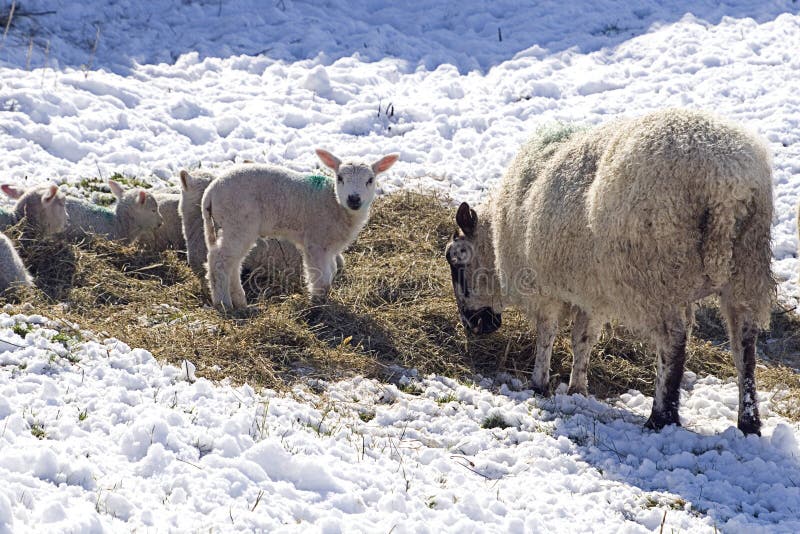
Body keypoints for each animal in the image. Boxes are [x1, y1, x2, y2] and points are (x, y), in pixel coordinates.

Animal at [202, 149, 399, 308]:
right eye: (340, 178)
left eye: (370, 180)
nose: (354, 199)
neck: (334, 203)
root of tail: (210, 192)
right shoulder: (315, 242)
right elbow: (322, 279)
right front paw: (318, 303)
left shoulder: (329, 246)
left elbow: (333, 271)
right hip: (238, 220)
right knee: (219, 260)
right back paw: (223, 303)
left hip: (234, 225)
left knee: (233, 262)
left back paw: (240, 302)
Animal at [445, 109, 773, 435]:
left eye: (455, 260)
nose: (473, 326)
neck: (495, 242)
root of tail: (726, 185)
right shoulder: (594, 294)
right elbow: (583, 339)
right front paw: (577, 389)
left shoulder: (543, 287)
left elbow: (547, 334)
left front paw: (539, 383)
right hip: (746, 269)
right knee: (744, 347)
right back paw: (748, 421)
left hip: (656, 277)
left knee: (673, 343)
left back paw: (661, 416)